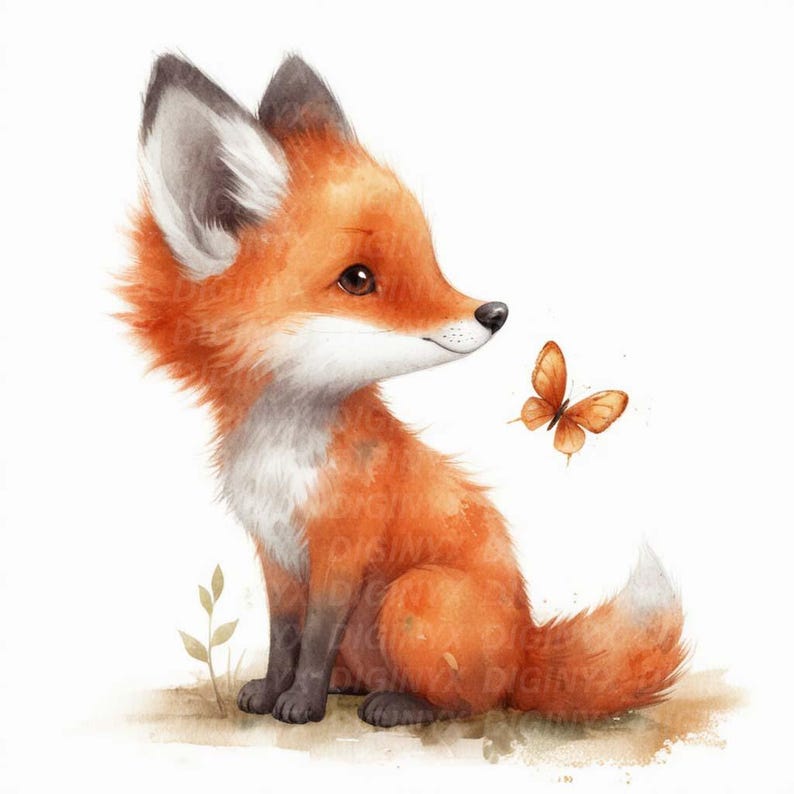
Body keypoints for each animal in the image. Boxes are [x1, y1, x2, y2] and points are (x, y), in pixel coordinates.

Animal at [120, 53, 685, 727]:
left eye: (428, 260)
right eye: (358, 279)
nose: (494, 312)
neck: (286, 454)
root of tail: (523, 648)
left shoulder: (344, 549)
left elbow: (316, 638)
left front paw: (300, 703)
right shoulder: (277, 554)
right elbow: (285, 635)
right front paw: (270, 691)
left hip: (413, 598)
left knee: (471, 702)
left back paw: (398, 704)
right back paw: (352, 687)